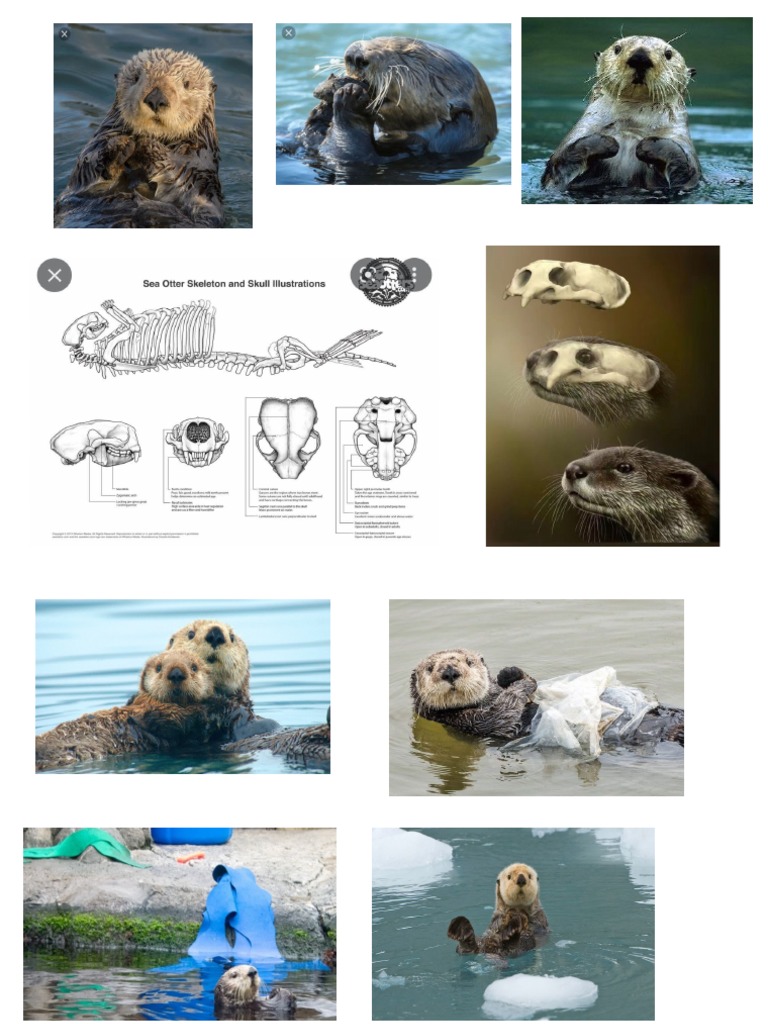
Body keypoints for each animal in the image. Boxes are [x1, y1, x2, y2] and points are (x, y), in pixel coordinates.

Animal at [55, 48, 224, 228]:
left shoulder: (200, 171)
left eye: (187, 83)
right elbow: (87, 166)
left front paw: (145, 146)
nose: (156, 99)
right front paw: (120, 145)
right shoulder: (90, 157)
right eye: (136, 78)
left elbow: (182, 176)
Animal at [542, 35, 701, 191]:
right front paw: (609, 143)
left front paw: (646, 146)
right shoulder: (581, 131)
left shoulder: (681, 141)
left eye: (668, 54)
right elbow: (560, 163)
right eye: (617, 49)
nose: (640, 57)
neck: (630, 128)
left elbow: (685, 169)